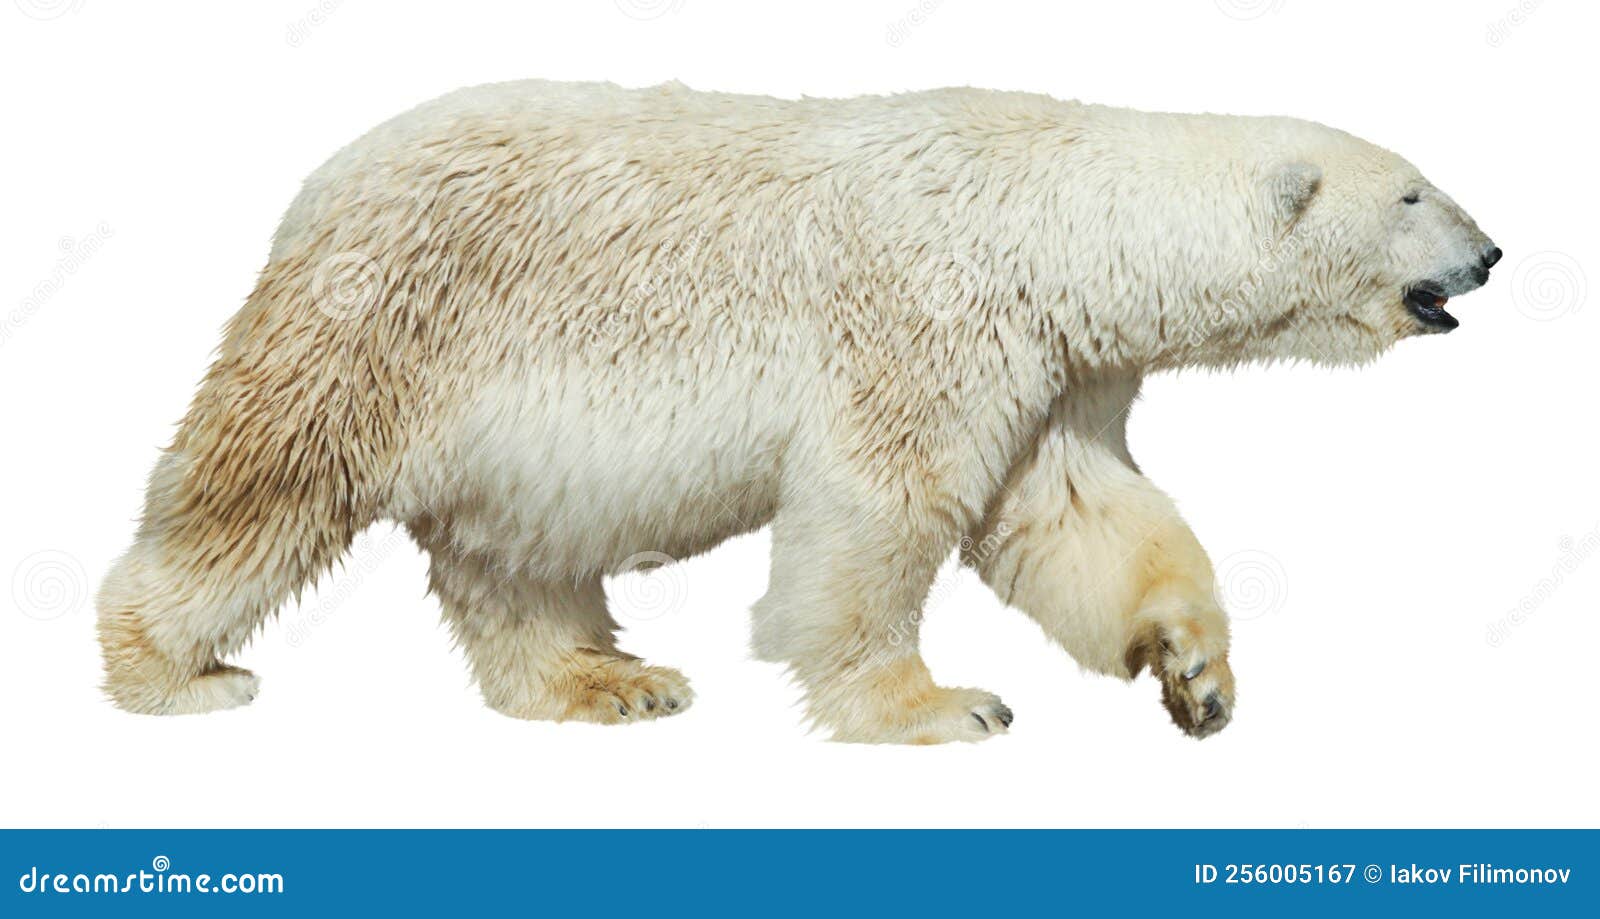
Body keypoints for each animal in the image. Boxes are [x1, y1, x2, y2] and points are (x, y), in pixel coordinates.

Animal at [96, 80, 1499, 743]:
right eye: (1415, 194)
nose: (1491, 254)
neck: (1053, 220)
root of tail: (319, 181)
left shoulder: (1046, 363)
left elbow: (1082, 513)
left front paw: (1197, 674)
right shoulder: (933, 317)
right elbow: (875, 511)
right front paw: (940, 706)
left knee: (517, 549)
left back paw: (609, 681)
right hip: (382, 324)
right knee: (262, 483)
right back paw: (176, 673)